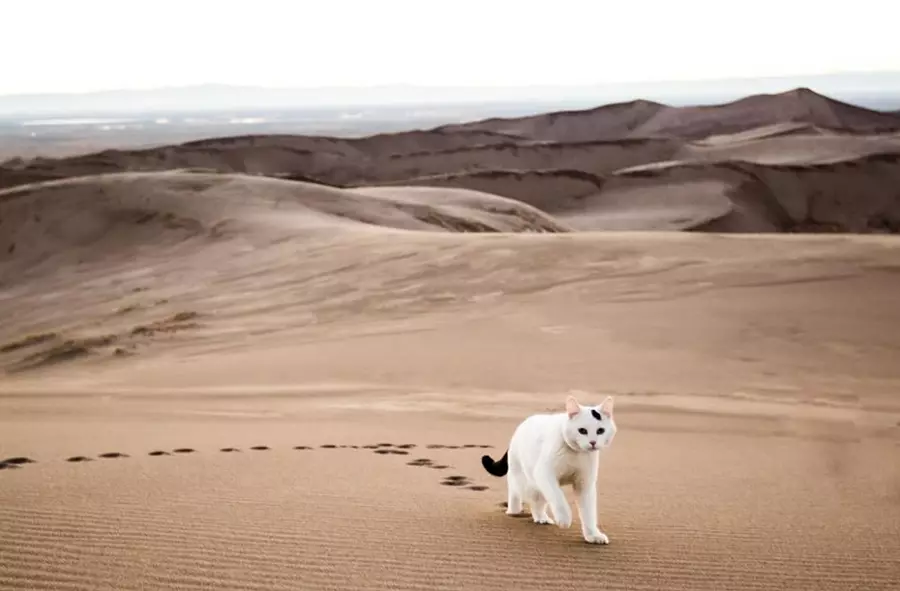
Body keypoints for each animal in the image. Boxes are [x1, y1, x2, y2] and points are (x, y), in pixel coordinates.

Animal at [482, 394, 616, 544]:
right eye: (582, 430)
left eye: (600, 431)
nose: (593, 442)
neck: (575, 454)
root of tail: (522, 425)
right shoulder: (545, 474)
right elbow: (558, 497)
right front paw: (564, 519)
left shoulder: (585, 484)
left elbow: (589, 512)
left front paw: (593, 535)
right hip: (526, 479)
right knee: (518, 491)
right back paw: (514, 510)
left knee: (536, 501)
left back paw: (542, 518)